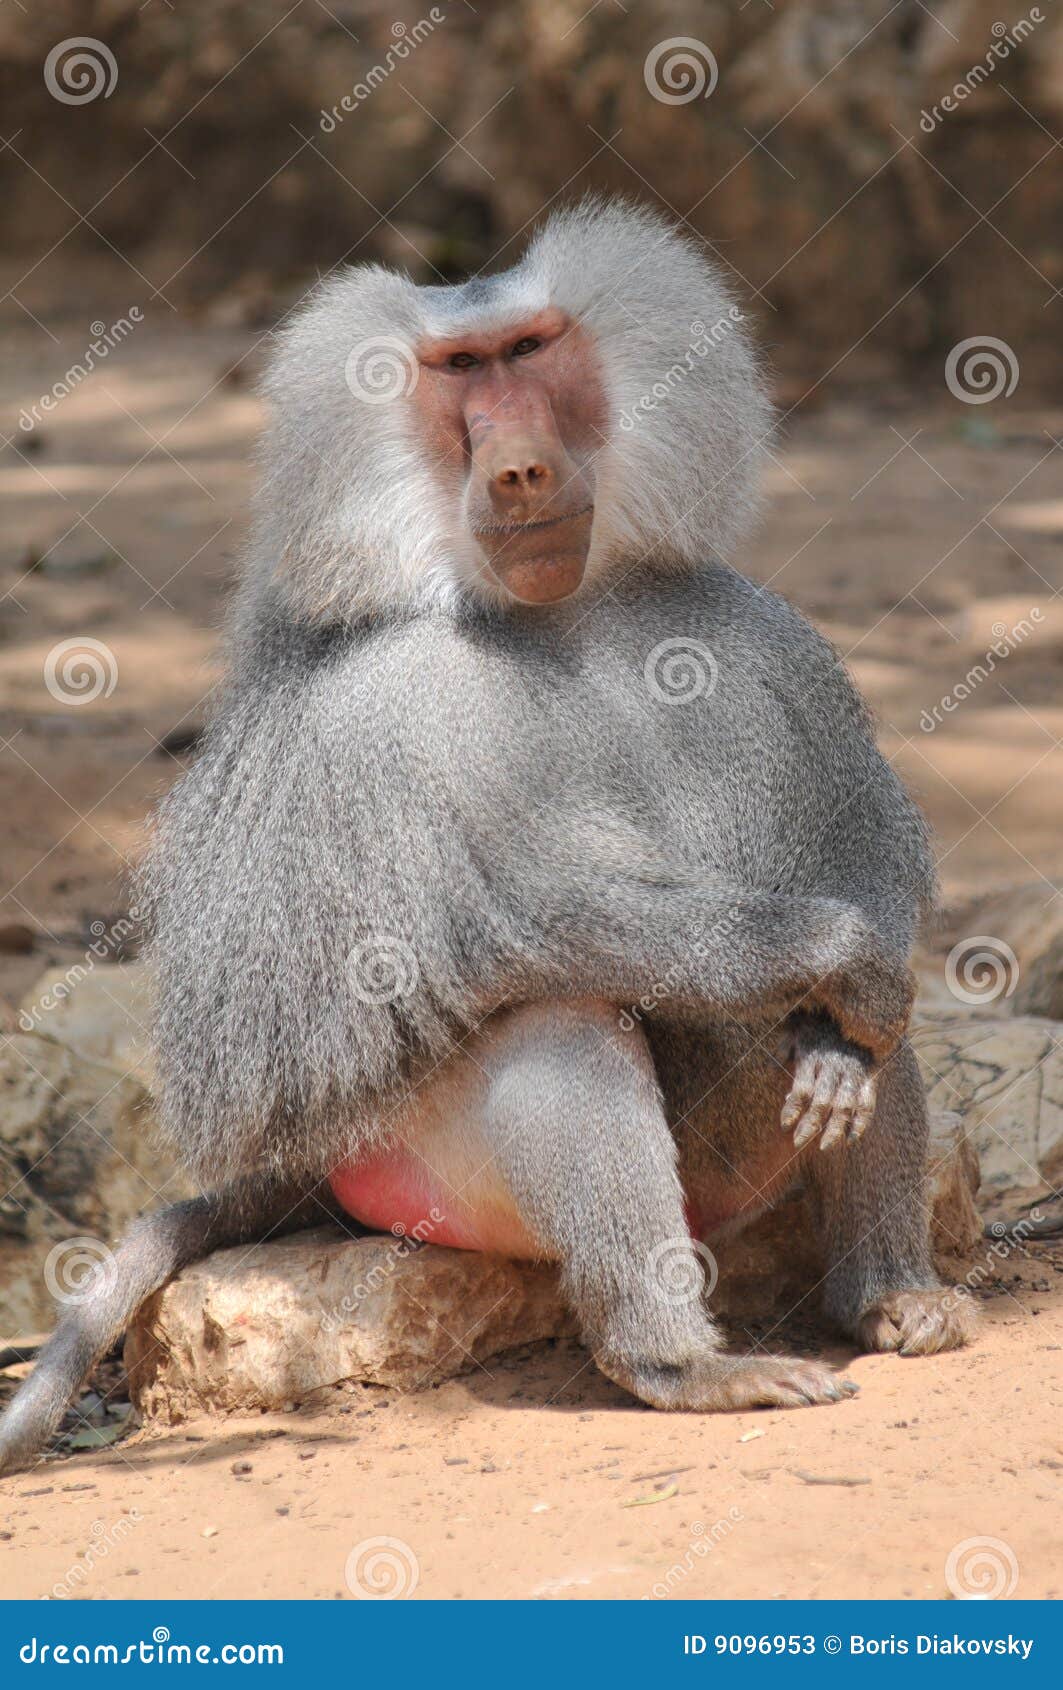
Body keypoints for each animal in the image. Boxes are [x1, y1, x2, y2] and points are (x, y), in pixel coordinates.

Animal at [0, 197, 975, 1475]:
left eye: (529, 351)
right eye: (456, 372)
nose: (519, 466)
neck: (546, 609)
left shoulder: (762, 630)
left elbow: (872, 844)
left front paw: (840, 1034)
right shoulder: (388, 707)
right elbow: (516, 921)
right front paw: (830, 960)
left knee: (872, 1009)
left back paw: (888, 1294)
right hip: (416, 1173)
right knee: (558, 1014)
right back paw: (679, 1361)